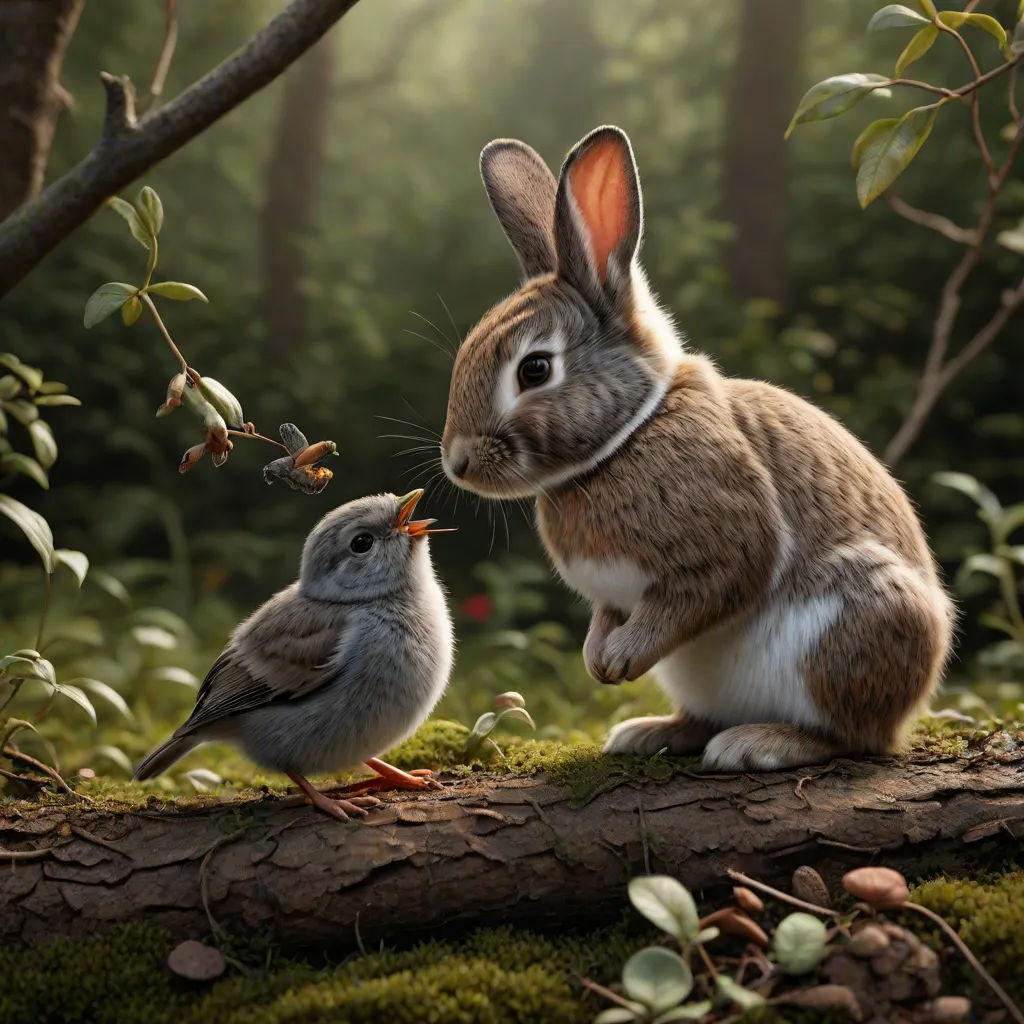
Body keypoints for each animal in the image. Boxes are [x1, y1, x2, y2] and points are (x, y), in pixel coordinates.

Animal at [439, 125, 954, 771]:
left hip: (855, 622)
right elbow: (607, 616)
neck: (630, 434)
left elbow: (696, 596)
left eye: (534, 369)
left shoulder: (725, 546)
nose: (456, 463)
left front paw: (619, 658)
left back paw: (759, 743)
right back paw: (650, 732)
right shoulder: (614, 596)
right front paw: (597, 659)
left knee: (854, 736)